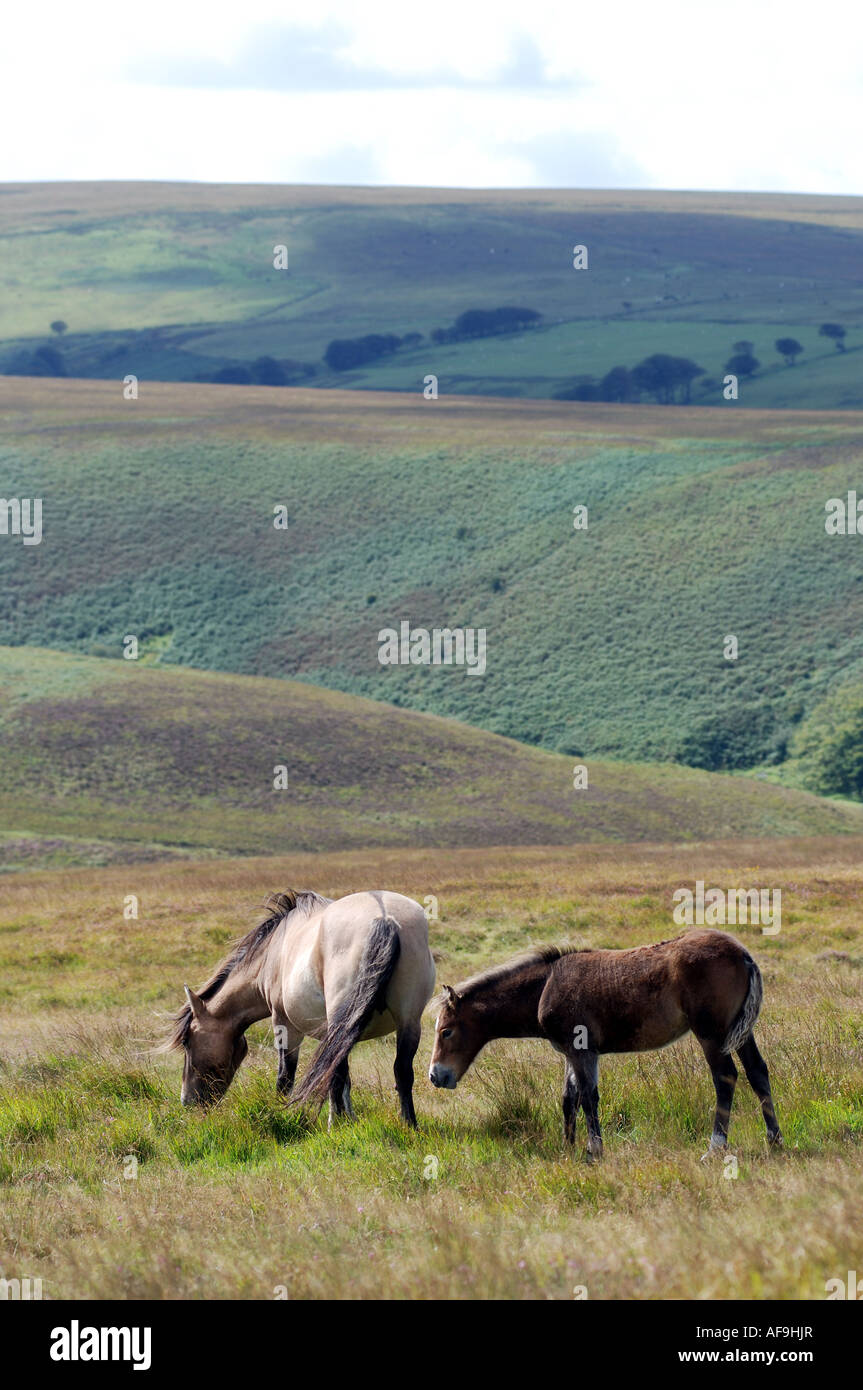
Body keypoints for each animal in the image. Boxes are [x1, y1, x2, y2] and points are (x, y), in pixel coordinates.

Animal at [161, 888, 436, 1127]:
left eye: (187, 1041)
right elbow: (340, 1074)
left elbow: (288, 1076)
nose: (187, 1101)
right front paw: (347, 1118)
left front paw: (283, 1113)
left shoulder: (285, 1024)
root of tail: (384, 919)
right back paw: (409, 1124)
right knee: (402, 1071)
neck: (271, 954)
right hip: (408, 1022)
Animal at [428, 929, 783, 1159]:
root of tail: (744, 955)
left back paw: (715, 1147)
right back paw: (774, 1140)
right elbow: (569, 1098)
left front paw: (595, 1151)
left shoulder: (581, 1049)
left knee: (725, 1078)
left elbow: (588, 1097)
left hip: (711, 1033)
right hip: (739, 1032)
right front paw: (569, 1149)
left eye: (446, 1031)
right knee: (757, 1072)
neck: (545, 986)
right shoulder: (575, 1052)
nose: (435, 1076)